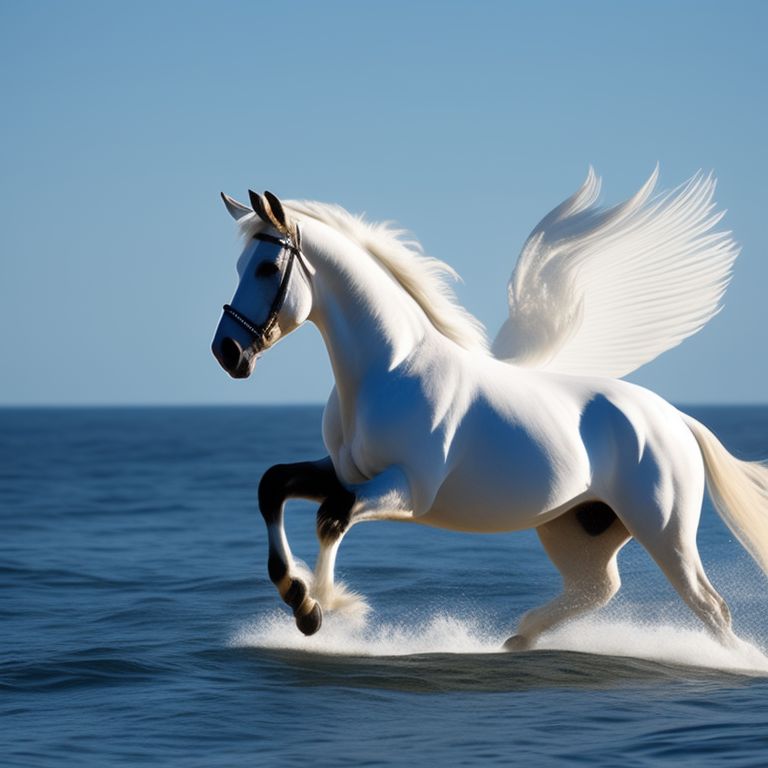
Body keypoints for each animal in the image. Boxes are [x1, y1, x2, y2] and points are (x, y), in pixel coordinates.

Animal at [211, 171, 768, 651]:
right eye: (239, 267)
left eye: (265, 267)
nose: (227, 352)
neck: (389, 370)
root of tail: (677, 421)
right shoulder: (347, 471)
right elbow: (273, 485)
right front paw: (296, 593)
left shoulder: (408, 488)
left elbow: (332, 519)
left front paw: (320, 606)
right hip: (578, 529)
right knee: (598, 588)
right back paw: (517, 638)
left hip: (666, 531)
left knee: (710, 606)